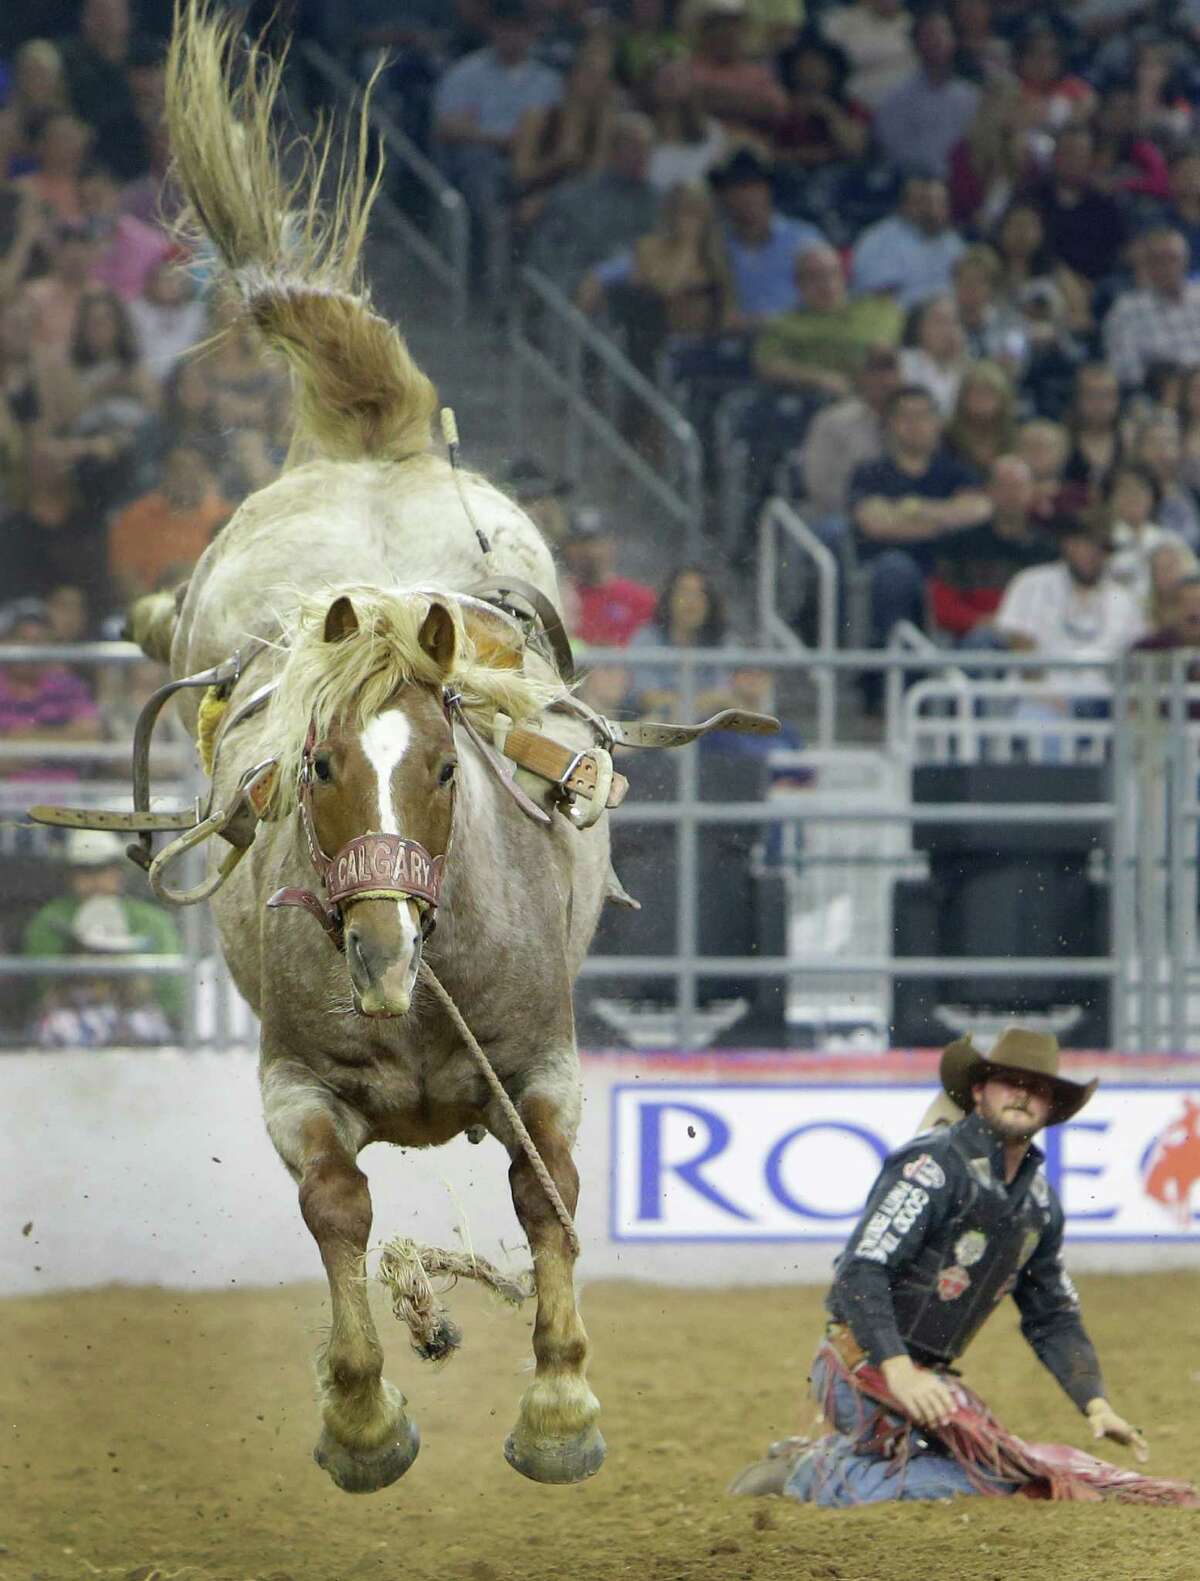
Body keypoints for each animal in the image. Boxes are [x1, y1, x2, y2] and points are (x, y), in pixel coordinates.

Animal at [134, 4, 613, 1493]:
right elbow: (337, 1204)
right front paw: (362, 1417)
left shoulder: (544, 1067)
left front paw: (560, 1404)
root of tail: (374, 453)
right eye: (319, 768)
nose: (386, 942)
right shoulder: (291, 1084)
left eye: (450, 769)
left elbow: (546, 1194)